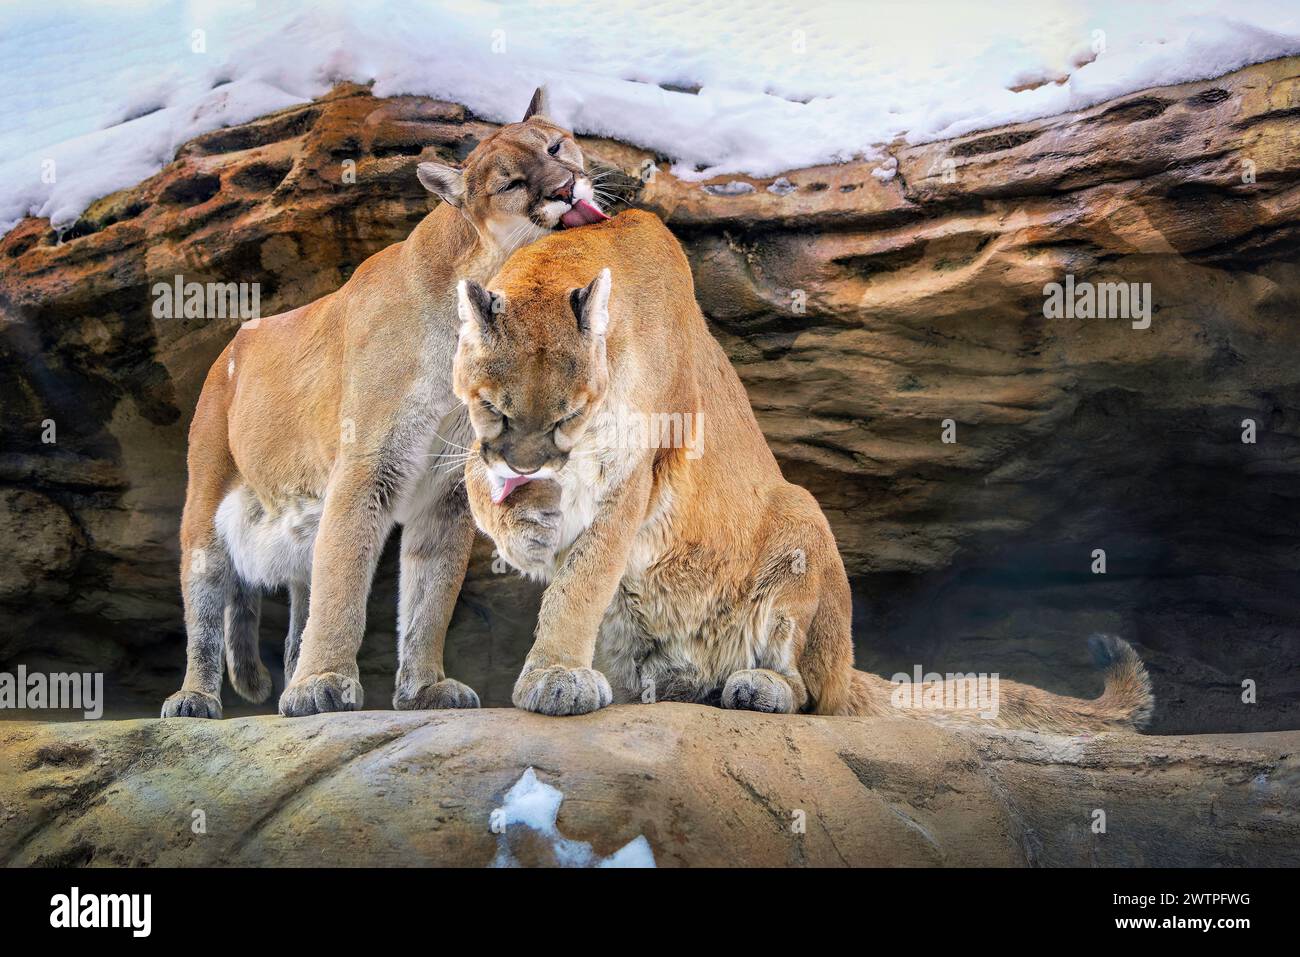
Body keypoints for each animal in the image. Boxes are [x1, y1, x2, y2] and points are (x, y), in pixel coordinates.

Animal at [162, 88, 609, 719]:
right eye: (511, 183)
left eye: (554, 147)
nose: (566, 187)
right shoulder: (366, 467)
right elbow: (345, 580)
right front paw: (324, 683)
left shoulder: (446, 491)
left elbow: (430, 594)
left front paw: (421, 687)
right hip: (205, 498)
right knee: (205, 594)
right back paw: (194, 697)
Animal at [452, 210, 1154, 733]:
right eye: (493, 407)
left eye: (569, 415)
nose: (526, 466)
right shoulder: (474, 448)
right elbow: (477, 488)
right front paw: (525, 529)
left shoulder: (632, 476)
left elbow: (583, 580)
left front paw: (553, 676)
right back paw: (671, 680)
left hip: (801, 518)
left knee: (817, 697)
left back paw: (754, 687)